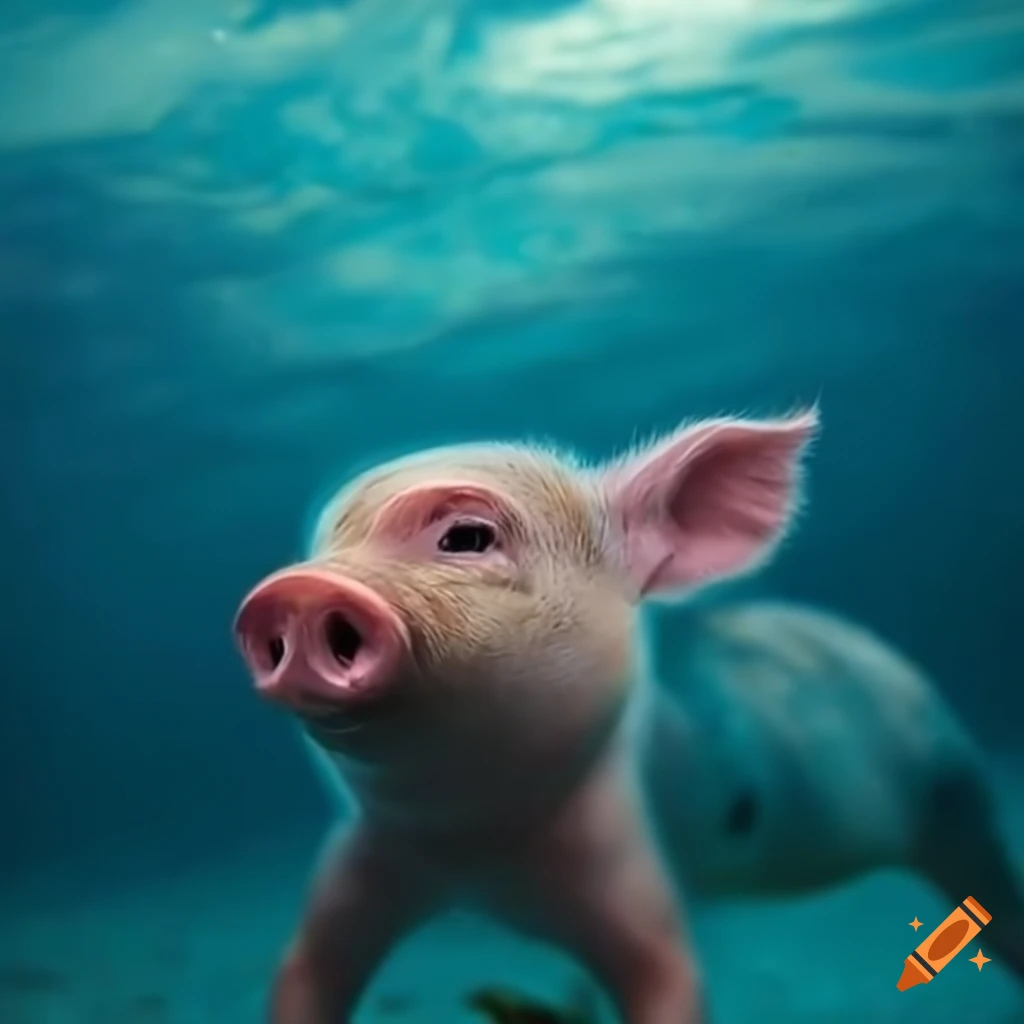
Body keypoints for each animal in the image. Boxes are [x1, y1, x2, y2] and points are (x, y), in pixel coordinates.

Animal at [232, 409, 1024, 1024]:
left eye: (466, 537)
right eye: (323, 544)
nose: (295, 588)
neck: (478, 854)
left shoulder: (619, 851)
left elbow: (668, 977)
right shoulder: (370, 859)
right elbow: (302, 970)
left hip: (958, 797)